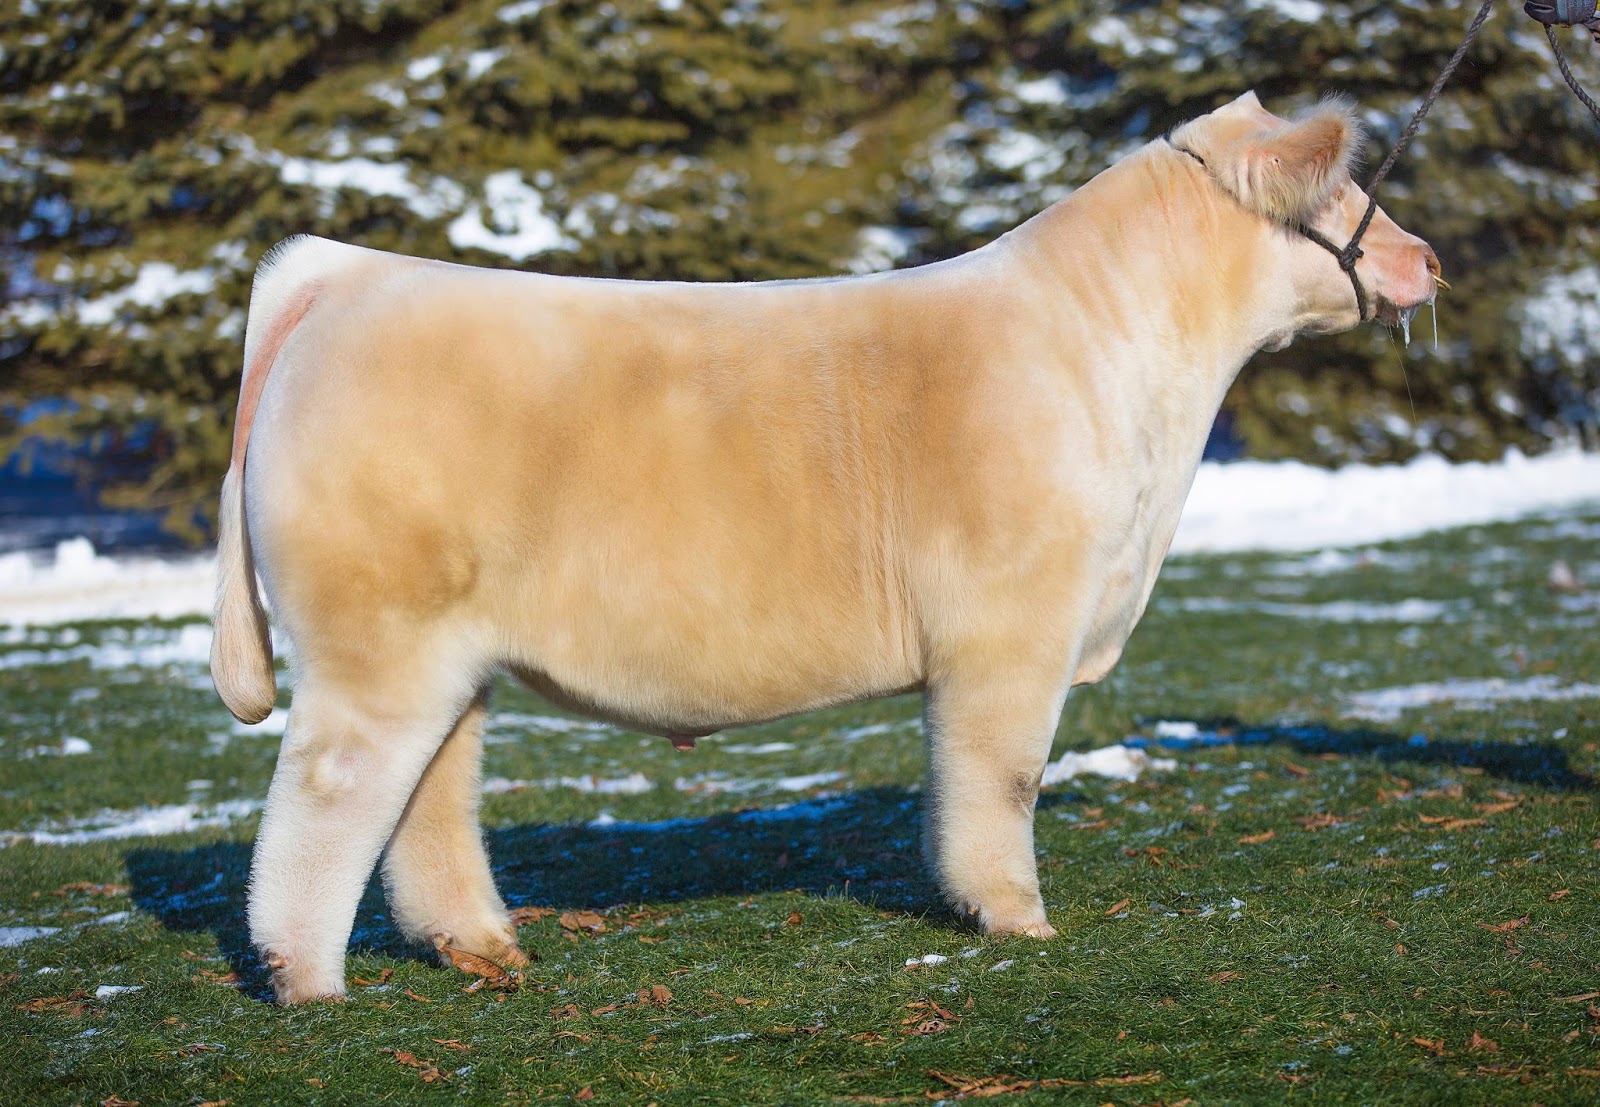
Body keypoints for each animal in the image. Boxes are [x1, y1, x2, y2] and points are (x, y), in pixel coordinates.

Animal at [211, 92, 1441, 1003]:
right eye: (1348, 194)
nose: (1425, 260)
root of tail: (352, 276)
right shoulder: (1013, 626)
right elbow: (1000, 777)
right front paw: (1015, 919)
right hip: (376, 648)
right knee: (330, 793)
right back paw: (307, 980)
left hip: (447, 656)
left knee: (429, 797)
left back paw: (482, 947)